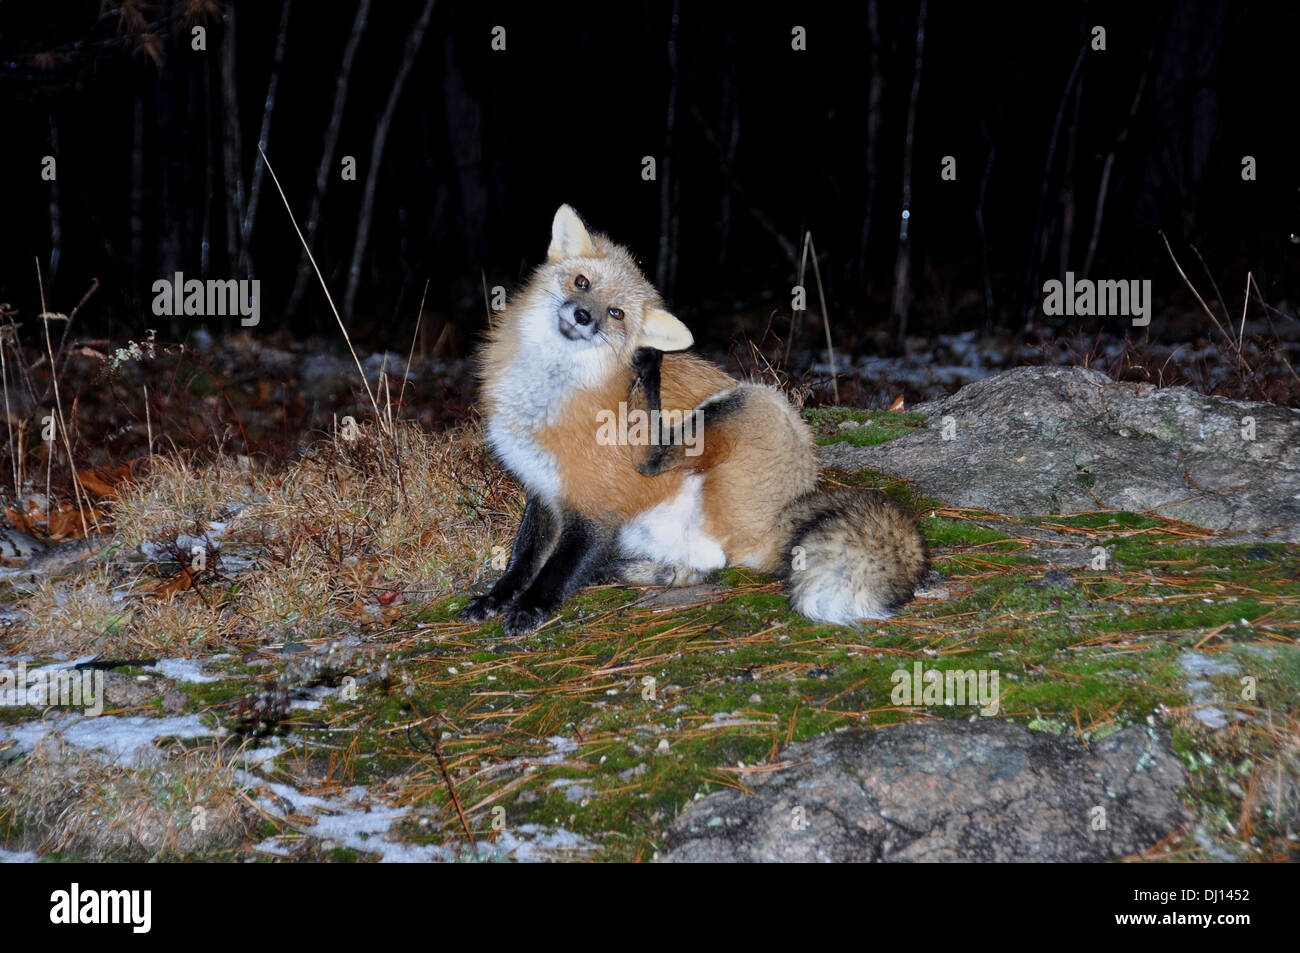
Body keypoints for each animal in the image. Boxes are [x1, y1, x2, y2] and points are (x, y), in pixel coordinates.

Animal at [462, 204, 927, 637]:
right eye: (581, 283)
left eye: (616, 313)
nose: (583, 316)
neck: (549, 396)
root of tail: (784, 514)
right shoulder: (544, 489)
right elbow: (523, 560)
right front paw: (495, 599)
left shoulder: (597, 504)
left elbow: (558, 568)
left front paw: (532, 607)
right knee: (698, 568)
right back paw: (621, 572)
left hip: (752, 399)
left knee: (657, 464)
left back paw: (648, 372)